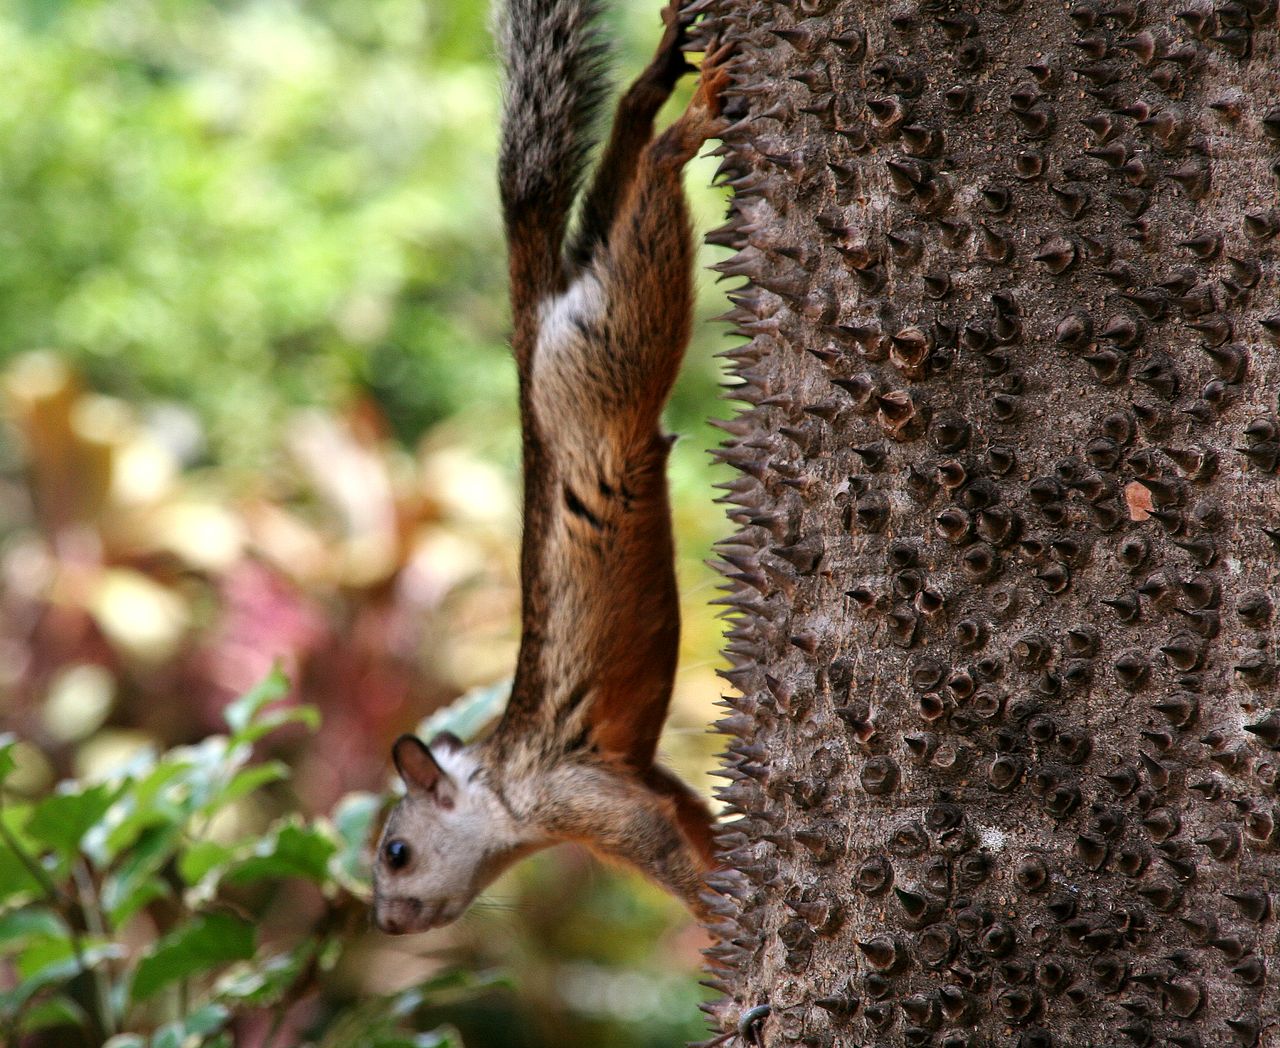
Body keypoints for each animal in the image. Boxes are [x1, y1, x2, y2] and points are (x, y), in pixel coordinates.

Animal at [371, 0, 731, 934]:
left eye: (395, 852)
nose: (384, 922)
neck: (502, 793)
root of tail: (529, 331)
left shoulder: (579, 795)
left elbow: (670, 855)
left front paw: (727, 924)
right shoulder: (640, 780)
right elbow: (692, 818)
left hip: (610, 352)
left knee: (649, 188)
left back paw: (690, 125)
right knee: (615, 175)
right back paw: (658, 78)